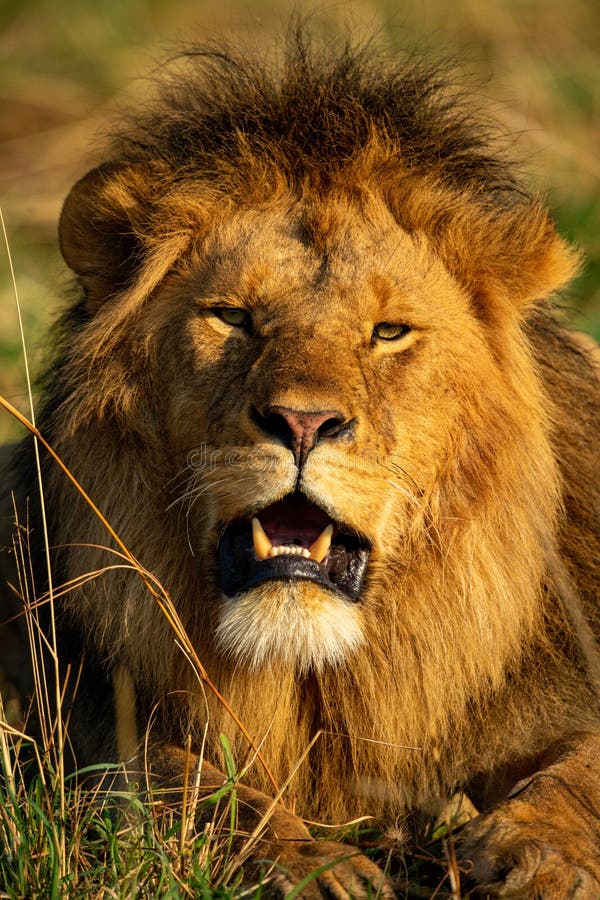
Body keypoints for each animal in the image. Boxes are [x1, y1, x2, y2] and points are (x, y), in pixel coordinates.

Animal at [1, 31, 599, 898]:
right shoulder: (64, 709)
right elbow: (165, 774)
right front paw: (306, 863)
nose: (304, 422)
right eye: (232, 317)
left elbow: (583, 763)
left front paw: (538, 853)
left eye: (388, 332)